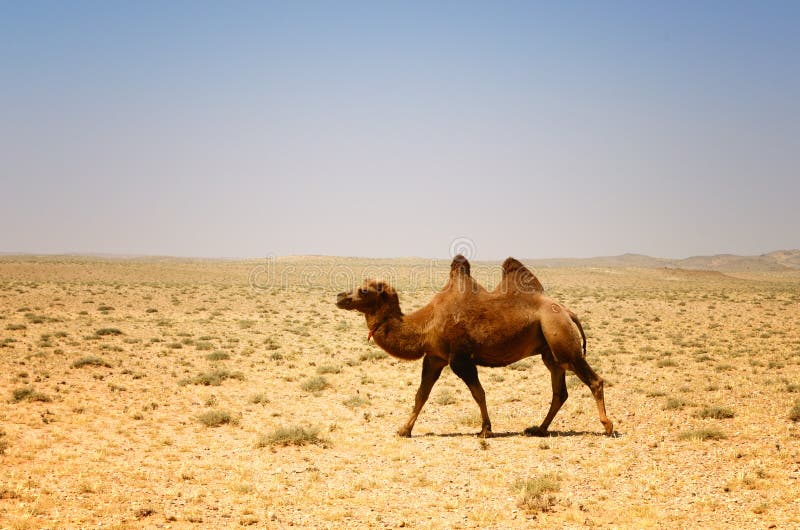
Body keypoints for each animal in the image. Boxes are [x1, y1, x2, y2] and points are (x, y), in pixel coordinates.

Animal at [335, 255, 612, 438]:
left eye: (363, 290)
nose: (339, 296)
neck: (426, 323)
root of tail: (567, 311)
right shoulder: (434, 357)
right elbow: (421, 394)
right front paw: (404, 429)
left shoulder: (460, 358)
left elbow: (479, 393)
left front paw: (486, 430)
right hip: (549, 351)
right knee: (560, 391)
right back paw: (539, 429)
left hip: (561, 339)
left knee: (594, 380)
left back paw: (607, 426)